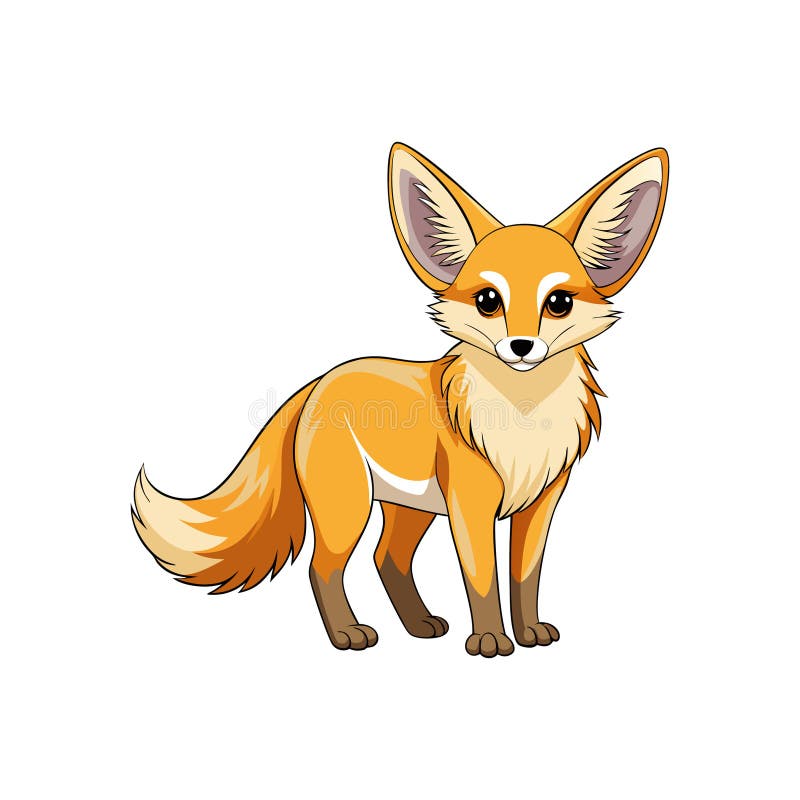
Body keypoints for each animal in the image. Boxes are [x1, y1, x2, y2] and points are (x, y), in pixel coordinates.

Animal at [132, 143, 668, 657]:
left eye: (558, 303)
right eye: (488, 301)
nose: (521, 346)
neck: (522, 422)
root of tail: (320, 382)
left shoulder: (542, 501)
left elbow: (525, 577)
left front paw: (529, 631)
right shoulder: (471, 503)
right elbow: (483, 579)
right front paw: (490, 641)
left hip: (410, 510)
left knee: (386, 559)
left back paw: (419, 625)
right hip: (348, 508)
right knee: (323, 568)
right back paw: (348, 634)